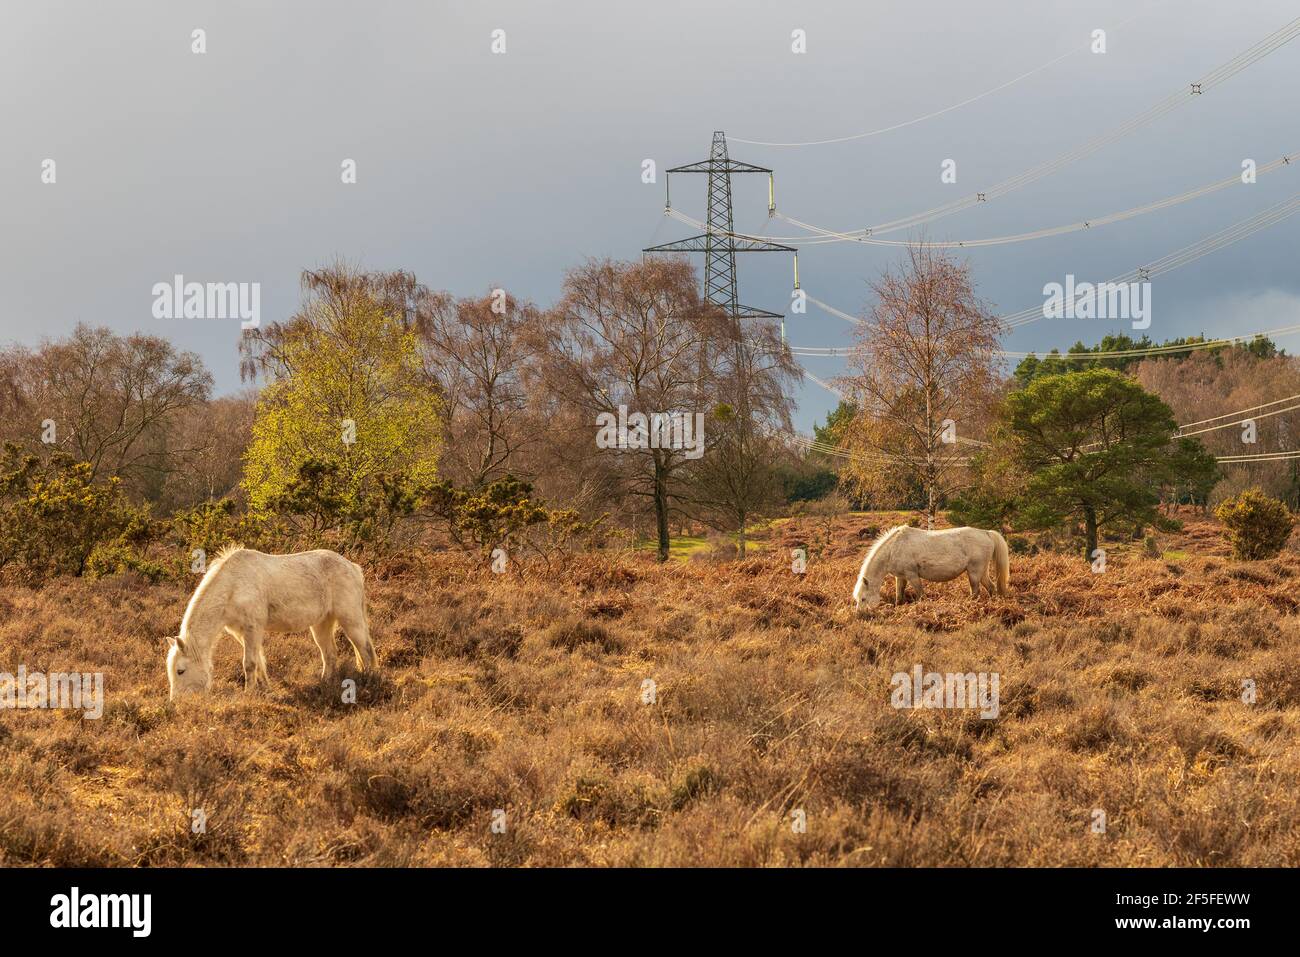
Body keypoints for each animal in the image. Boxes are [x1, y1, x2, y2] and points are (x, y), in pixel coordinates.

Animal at [166, 546, 376, 699]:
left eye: (180, 671)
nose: (176, 702)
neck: (233, 586)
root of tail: (353, 567)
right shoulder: (242, 633)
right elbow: (259, 661)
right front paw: (266, 689)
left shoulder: (253, 629)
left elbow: (249, 663)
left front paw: (248, 694)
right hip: (321, 624)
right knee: (330, 654)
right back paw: (325, 683)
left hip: (351, 619)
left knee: (365, 649)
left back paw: (369, 681)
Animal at [852, 525, 1010, 611]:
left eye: (864, 599)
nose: (860, 615)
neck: (894, 548)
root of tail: (986, 533)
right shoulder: (901, 577)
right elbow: (899, 595)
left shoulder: (912, 575)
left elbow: (920, 594)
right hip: (981, 572)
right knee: (991, 587)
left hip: (974, 573)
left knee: (976, 591)